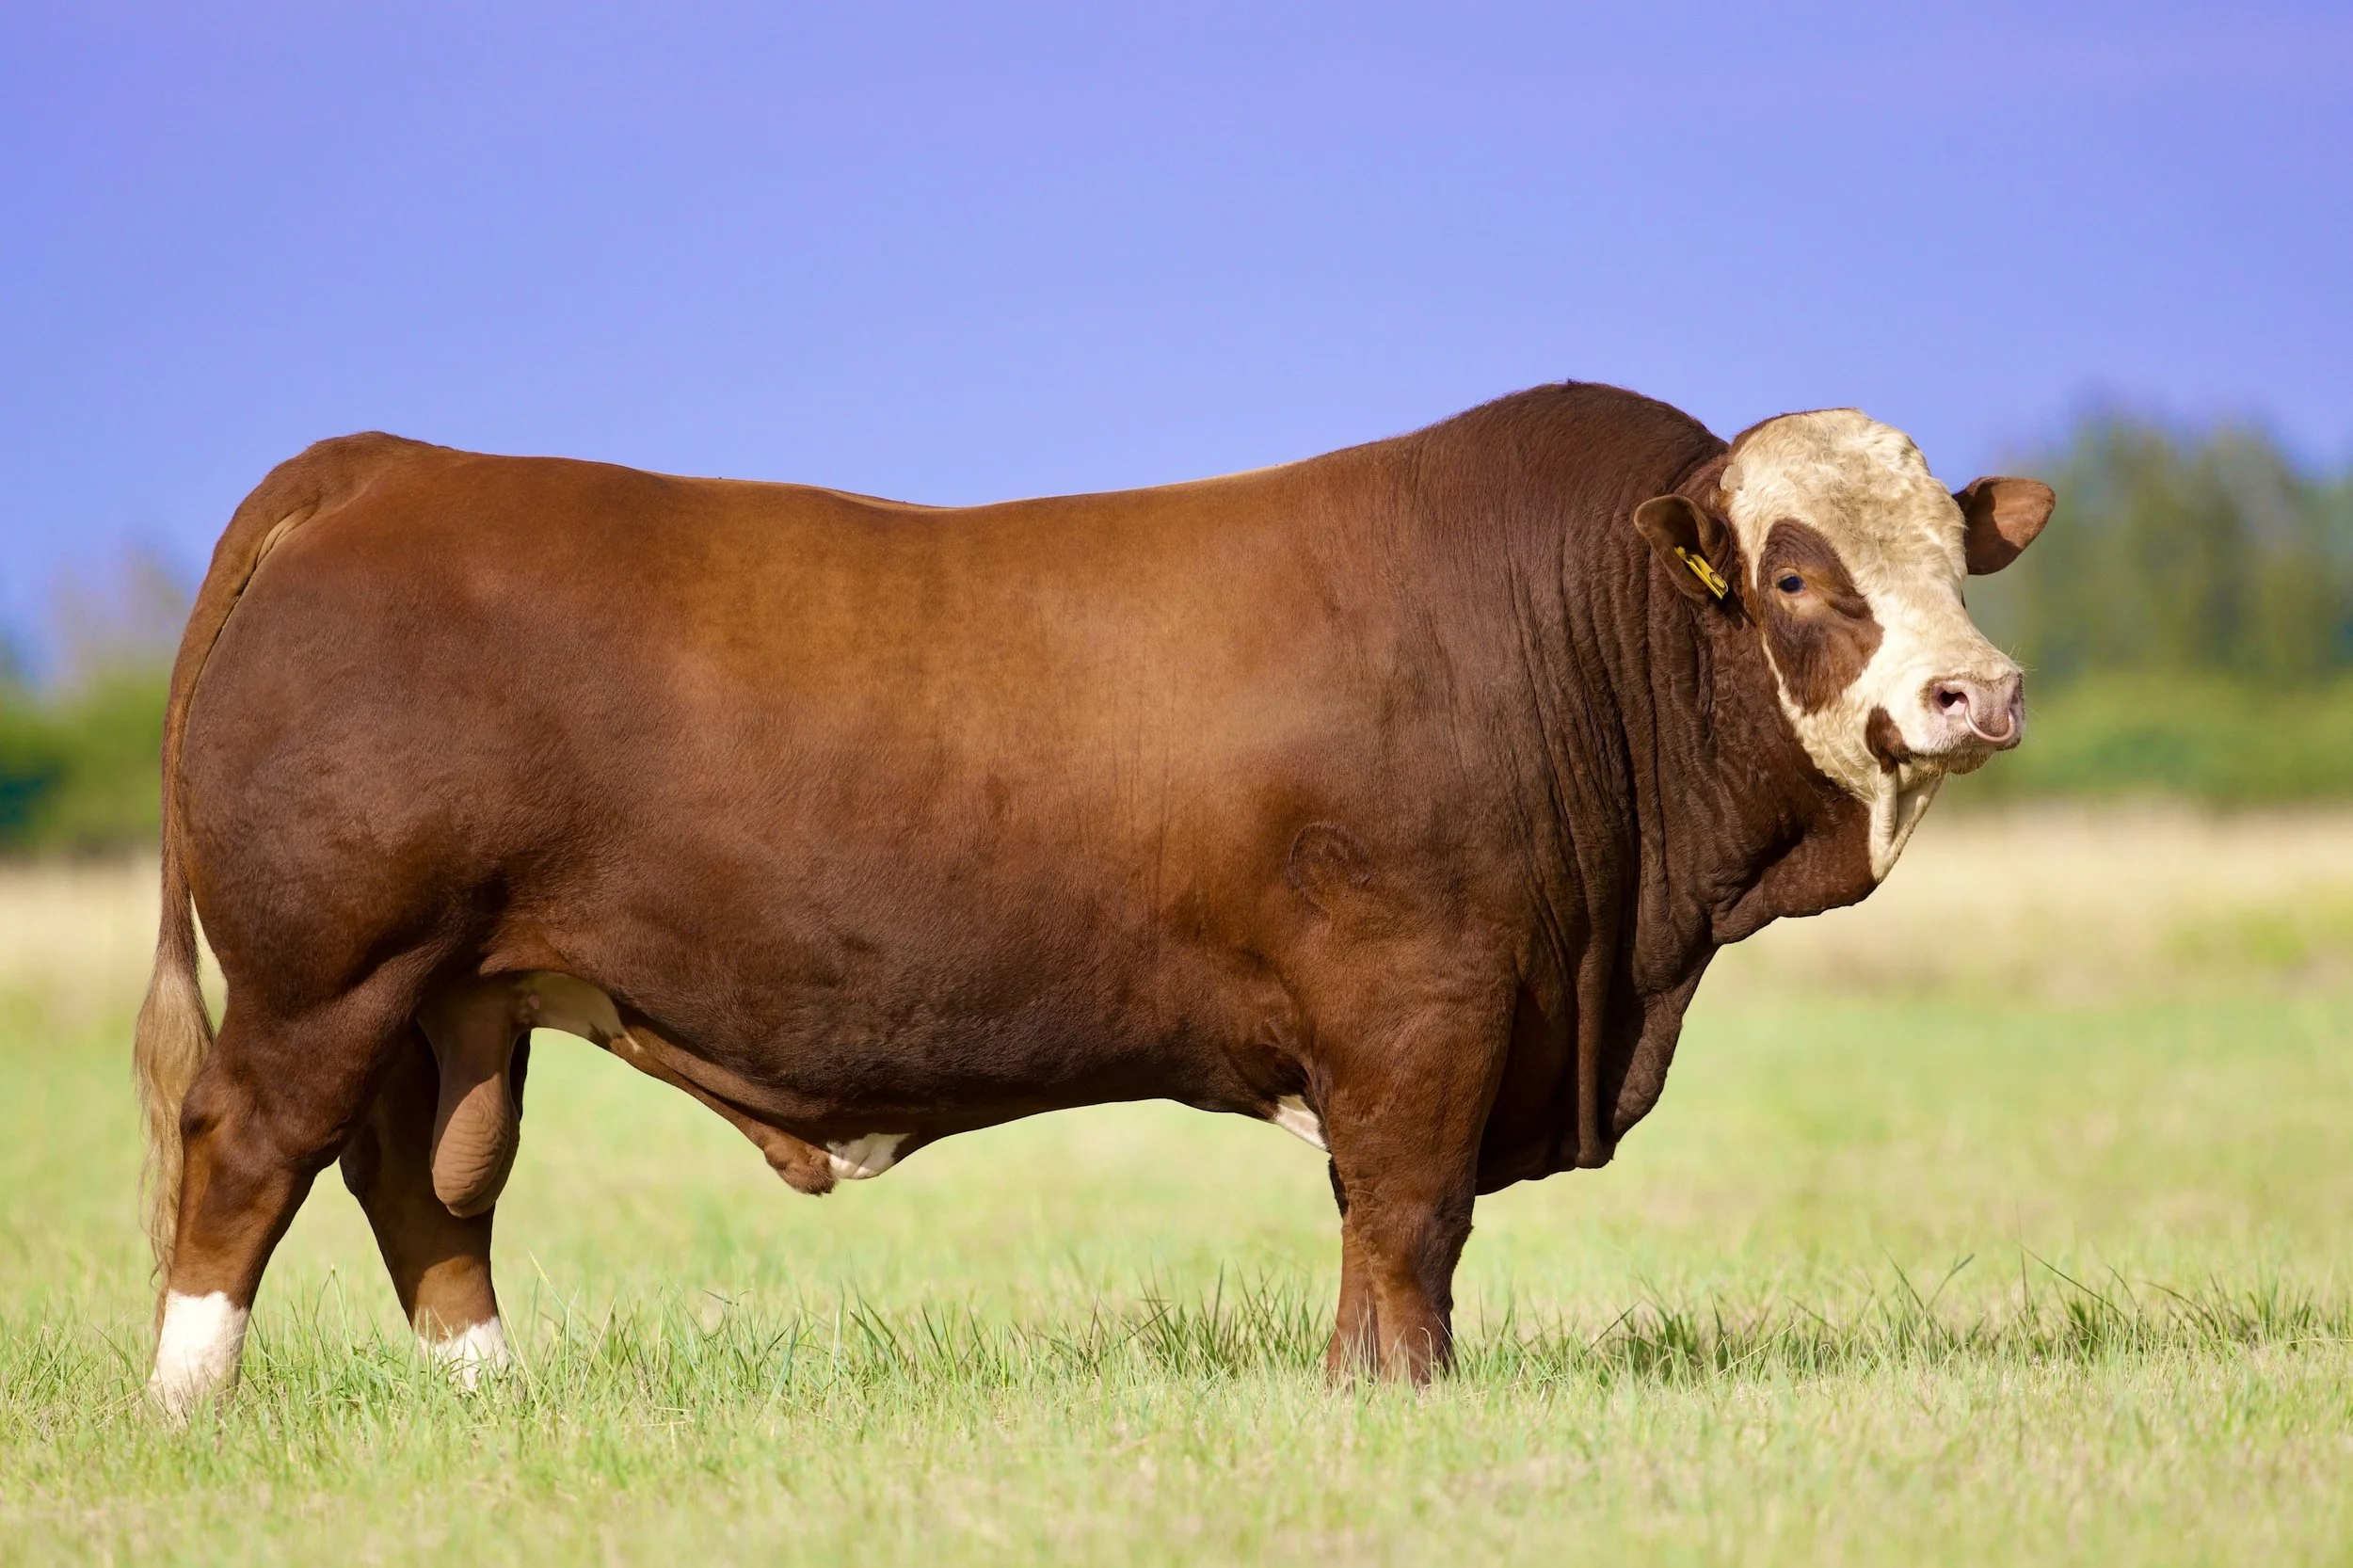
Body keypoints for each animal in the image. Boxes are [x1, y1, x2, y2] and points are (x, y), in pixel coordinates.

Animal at [133, 382, 2050, 1413]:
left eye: (1956, 562)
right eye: (1795, 576)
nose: (1980, 690)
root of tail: (385, 464)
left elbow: (1381, 1230)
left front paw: (1371, 1391)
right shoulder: (1426, 1001)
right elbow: (1410, 1219)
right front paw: (1399, 1401)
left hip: (454, 993)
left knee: (425, 1187)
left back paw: (497, 1395)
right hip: (328, 971)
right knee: (245, 1152)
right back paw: (188, 1404)